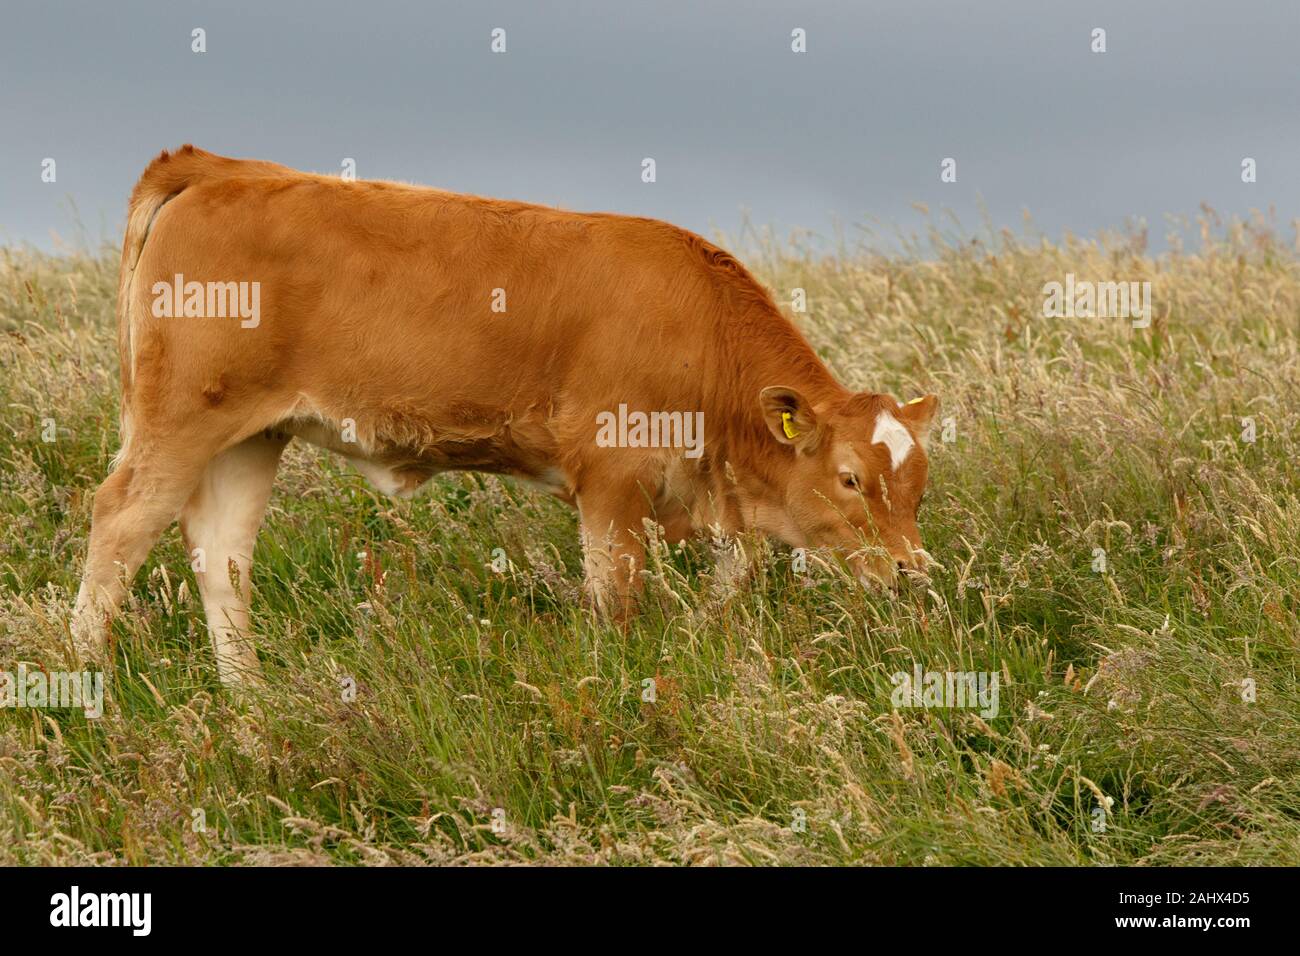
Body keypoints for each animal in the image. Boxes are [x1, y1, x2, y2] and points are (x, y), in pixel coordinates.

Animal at [71, 146, 939, 686]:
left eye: (918, 487)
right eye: (851, 477)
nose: (912, 570)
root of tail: (217, 168)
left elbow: (734, 580)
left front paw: (699, 642)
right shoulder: (611, 479)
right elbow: (616, 597)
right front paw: (619, 680)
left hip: (251, 437)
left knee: (221, 558)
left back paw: (250, 705)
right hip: (179, 422)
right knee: (119, 523)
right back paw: (85, 681)